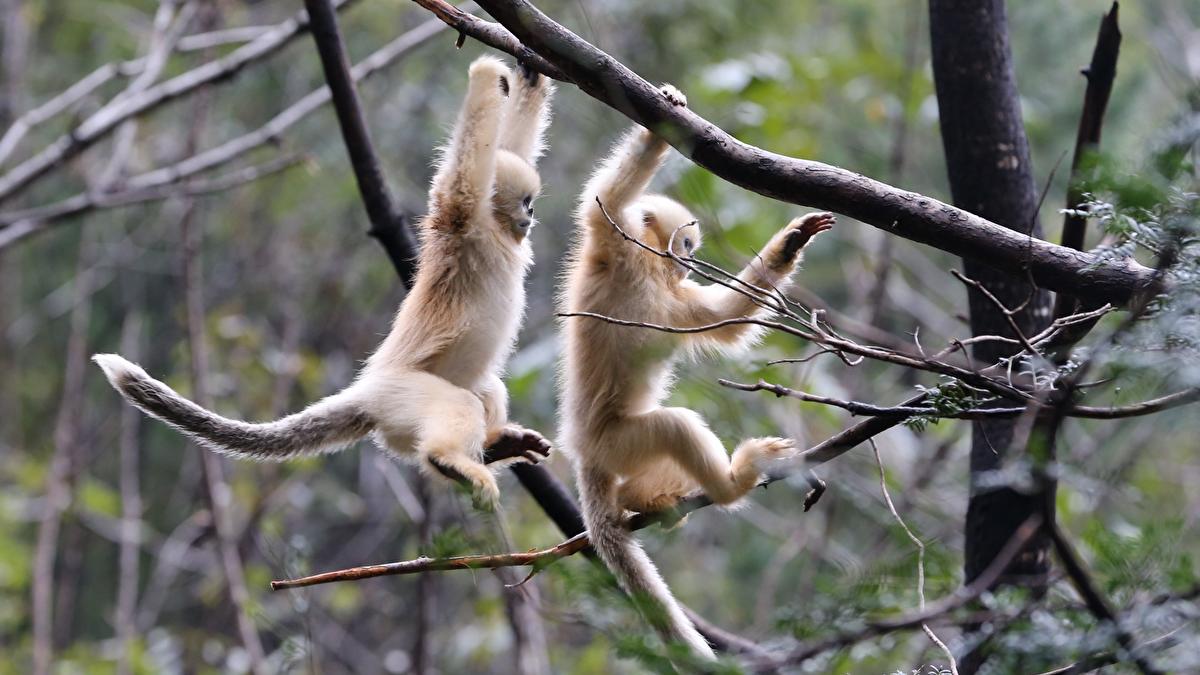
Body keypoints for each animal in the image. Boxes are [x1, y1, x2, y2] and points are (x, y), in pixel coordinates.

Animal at [94, 56, 554, 508]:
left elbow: (509, 144)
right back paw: (451, 461)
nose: (531, 217)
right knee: (457, 405)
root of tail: (365, 393)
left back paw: (493, 449)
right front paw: (485, 73)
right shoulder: (460, 221)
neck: (493, 233)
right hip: (404, 392)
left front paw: (529, 75)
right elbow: (461, 180)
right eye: (526, 203)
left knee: (486, 391)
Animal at [560, 85, 834, 659]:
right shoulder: (611, 244)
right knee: (676, 425)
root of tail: (583, 454)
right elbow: (605, 198)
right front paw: (660, 116)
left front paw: (792, 241)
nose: (687, 259)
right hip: (620, 442)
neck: (647, 270)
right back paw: (734, 482)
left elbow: (726, 319)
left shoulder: (677, 300)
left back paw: (648, 501)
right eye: (684, 244)